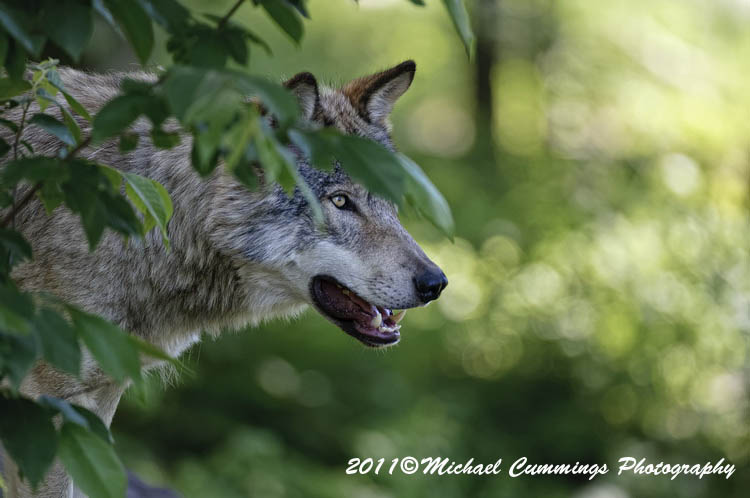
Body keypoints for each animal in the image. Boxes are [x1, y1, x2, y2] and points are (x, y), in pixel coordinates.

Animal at [0, 60, 447, 497]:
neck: (153, 221)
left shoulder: (99, 397)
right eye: (340, 201)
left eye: (390, 203)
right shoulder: (49, 404)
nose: (436, 283)